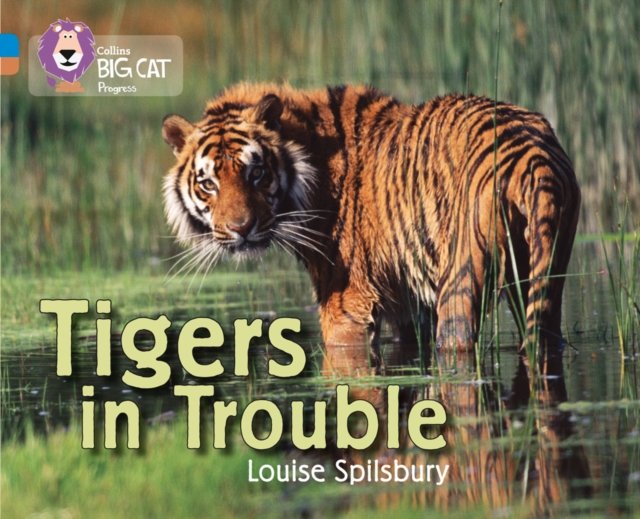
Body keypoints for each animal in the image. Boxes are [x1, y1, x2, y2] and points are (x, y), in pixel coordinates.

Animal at [162, 82, 580, 372]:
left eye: (256, 173)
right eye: (209, 183)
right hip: (545, 269)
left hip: (461, 279)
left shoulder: (347, 301)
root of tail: (531, 155)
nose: (241, 228)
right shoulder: (407, 303)